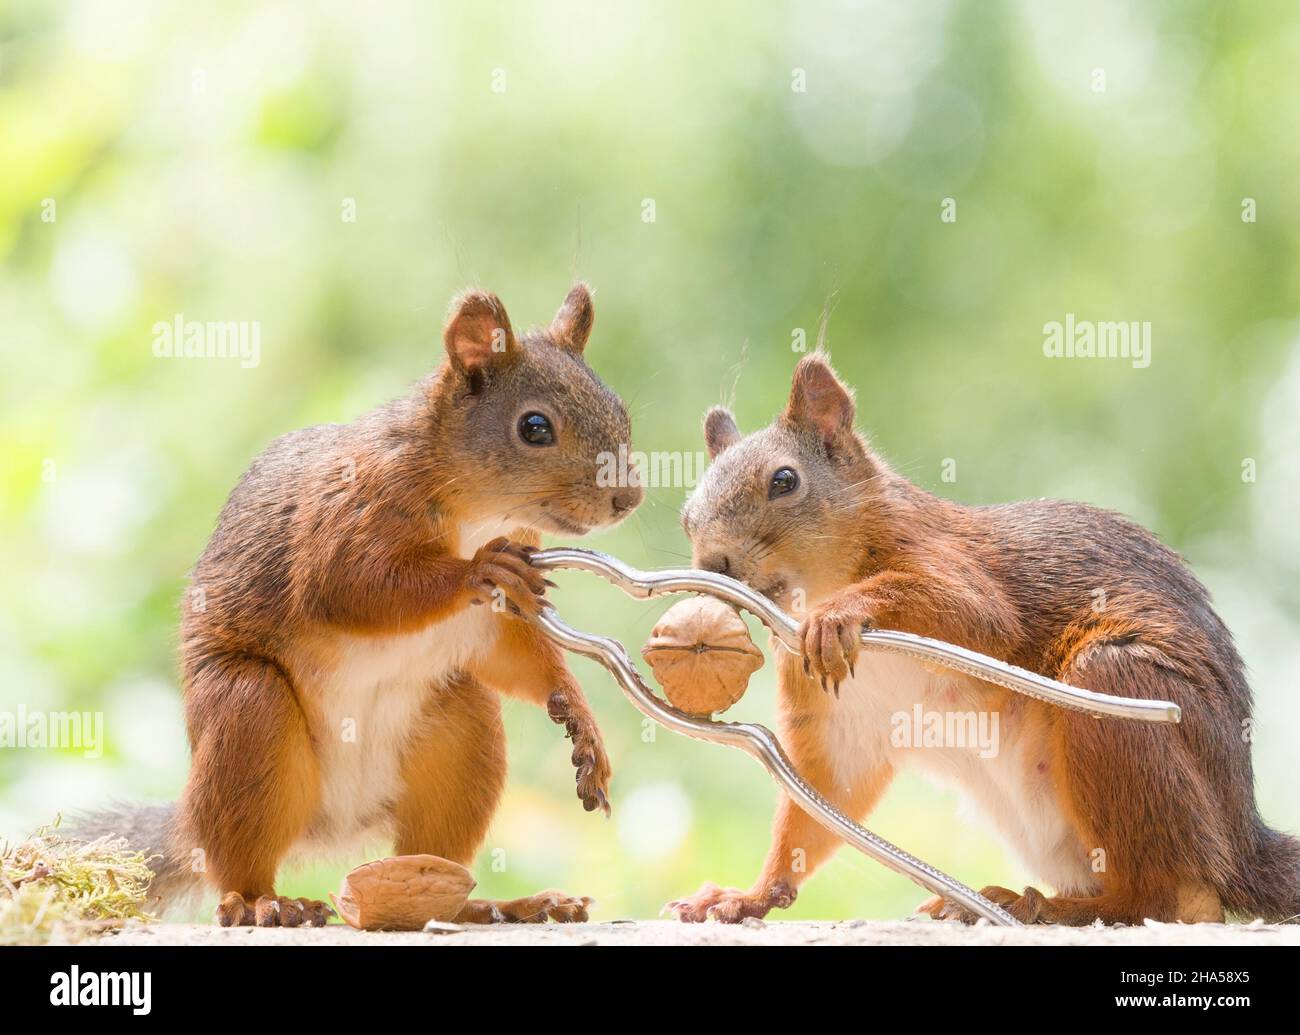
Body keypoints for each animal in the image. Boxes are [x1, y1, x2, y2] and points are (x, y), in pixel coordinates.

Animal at [78, 284, 642, 926]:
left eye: (620, 410)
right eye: (535, 427)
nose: (628, 497)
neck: (478, 508)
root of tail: (336, 827)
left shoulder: (498, 612)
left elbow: (517, 654)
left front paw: (580, 717)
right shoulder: (349, 516)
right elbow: (354, 588)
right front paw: (477, 569)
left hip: (460, 728)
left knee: (437, 862)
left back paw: (504, 905)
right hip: (246, 714)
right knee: (239, 856)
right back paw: (262, 904)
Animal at [668, 352, 1299, 926]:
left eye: (784, 481)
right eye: (685, 515)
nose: (712, 565)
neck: (816, 585)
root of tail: (1242, 839)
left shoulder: (945, 558)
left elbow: (976, 612)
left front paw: (841, 614)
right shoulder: (834, 714)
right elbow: (822, 797)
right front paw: (748, 895)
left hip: (1117, 688)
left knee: (1173, 899)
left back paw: (1047, 906)